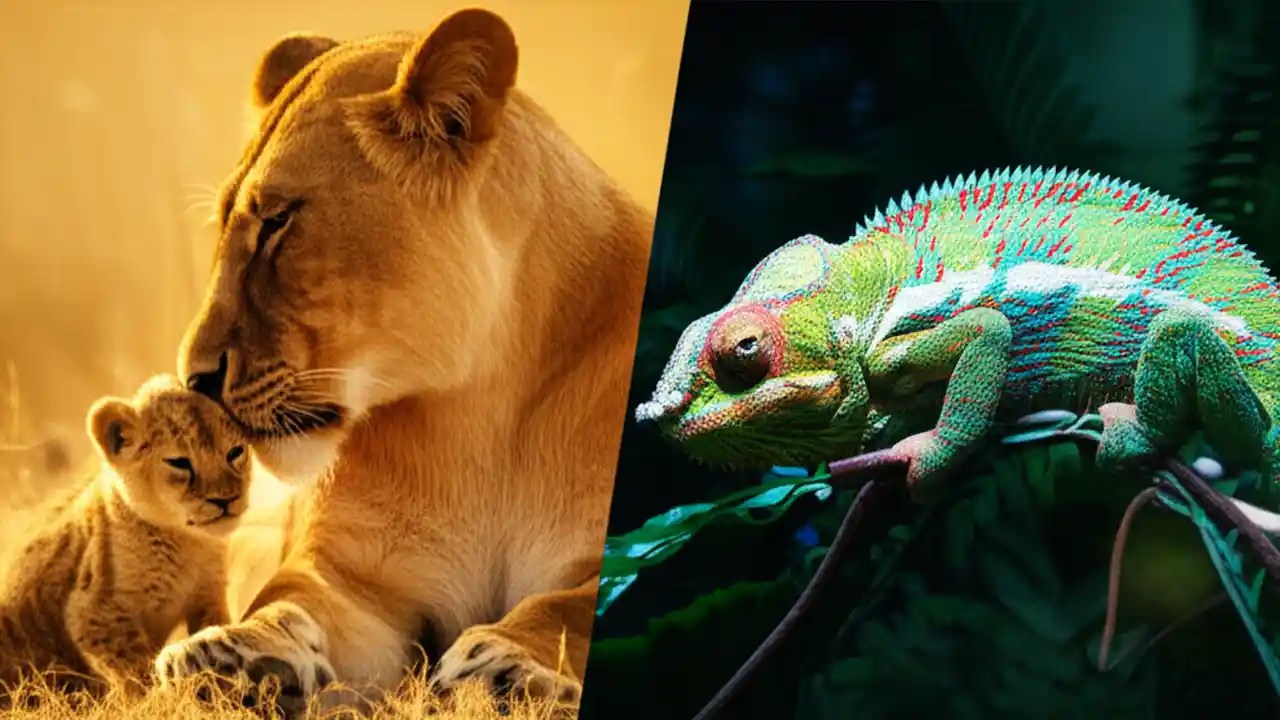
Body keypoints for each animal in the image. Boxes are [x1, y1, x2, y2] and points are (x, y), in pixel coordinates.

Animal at [0, 374, 251, 700]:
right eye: (179, 462)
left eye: (235, 452)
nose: (226, 500)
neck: (188, 542)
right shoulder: (92, 614)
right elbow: (140, 670)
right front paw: (163, 701)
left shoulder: (208, 596)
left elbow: (212, 637)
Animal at [152, 7, 653, 716]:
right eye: (225, 225)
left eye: (277, 221)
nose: (196, 379)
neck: (478, 409)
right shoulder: (356, 581)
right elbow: (285, 599)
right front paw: (230, 657)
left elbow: (565, 607)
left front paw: (506, 668)